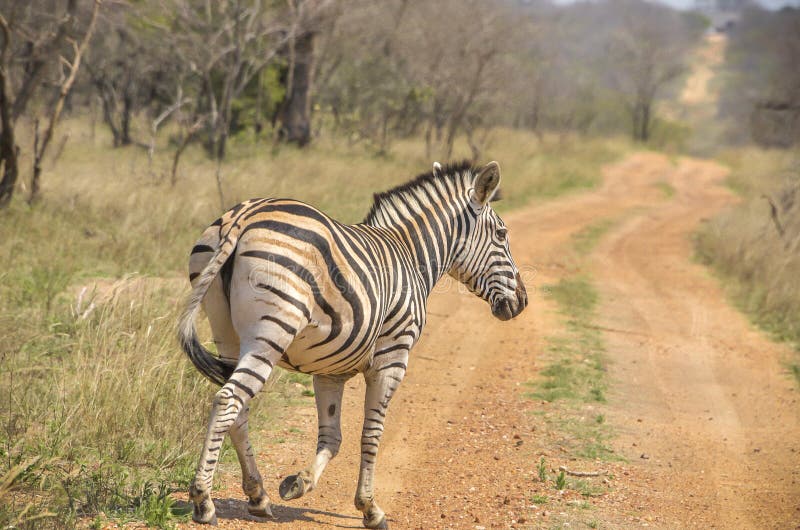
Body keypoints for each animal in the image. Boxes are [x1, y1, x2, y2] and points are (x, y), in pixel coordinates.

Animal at [179, 160, 528, 528]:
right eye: (502, 235)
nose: (522, 301)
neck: (411, 254)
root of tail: (243, 216)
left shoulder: (329, 370)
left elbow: (333, 437)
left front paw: (299, 483)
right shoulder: (393, 356)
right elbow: (371, 433)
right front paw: (370, 508)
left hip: (226, 333)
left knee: (238, 410)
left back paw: (258, 496)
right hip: (271, 332)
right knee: (228, 399)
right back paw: (203, 500)